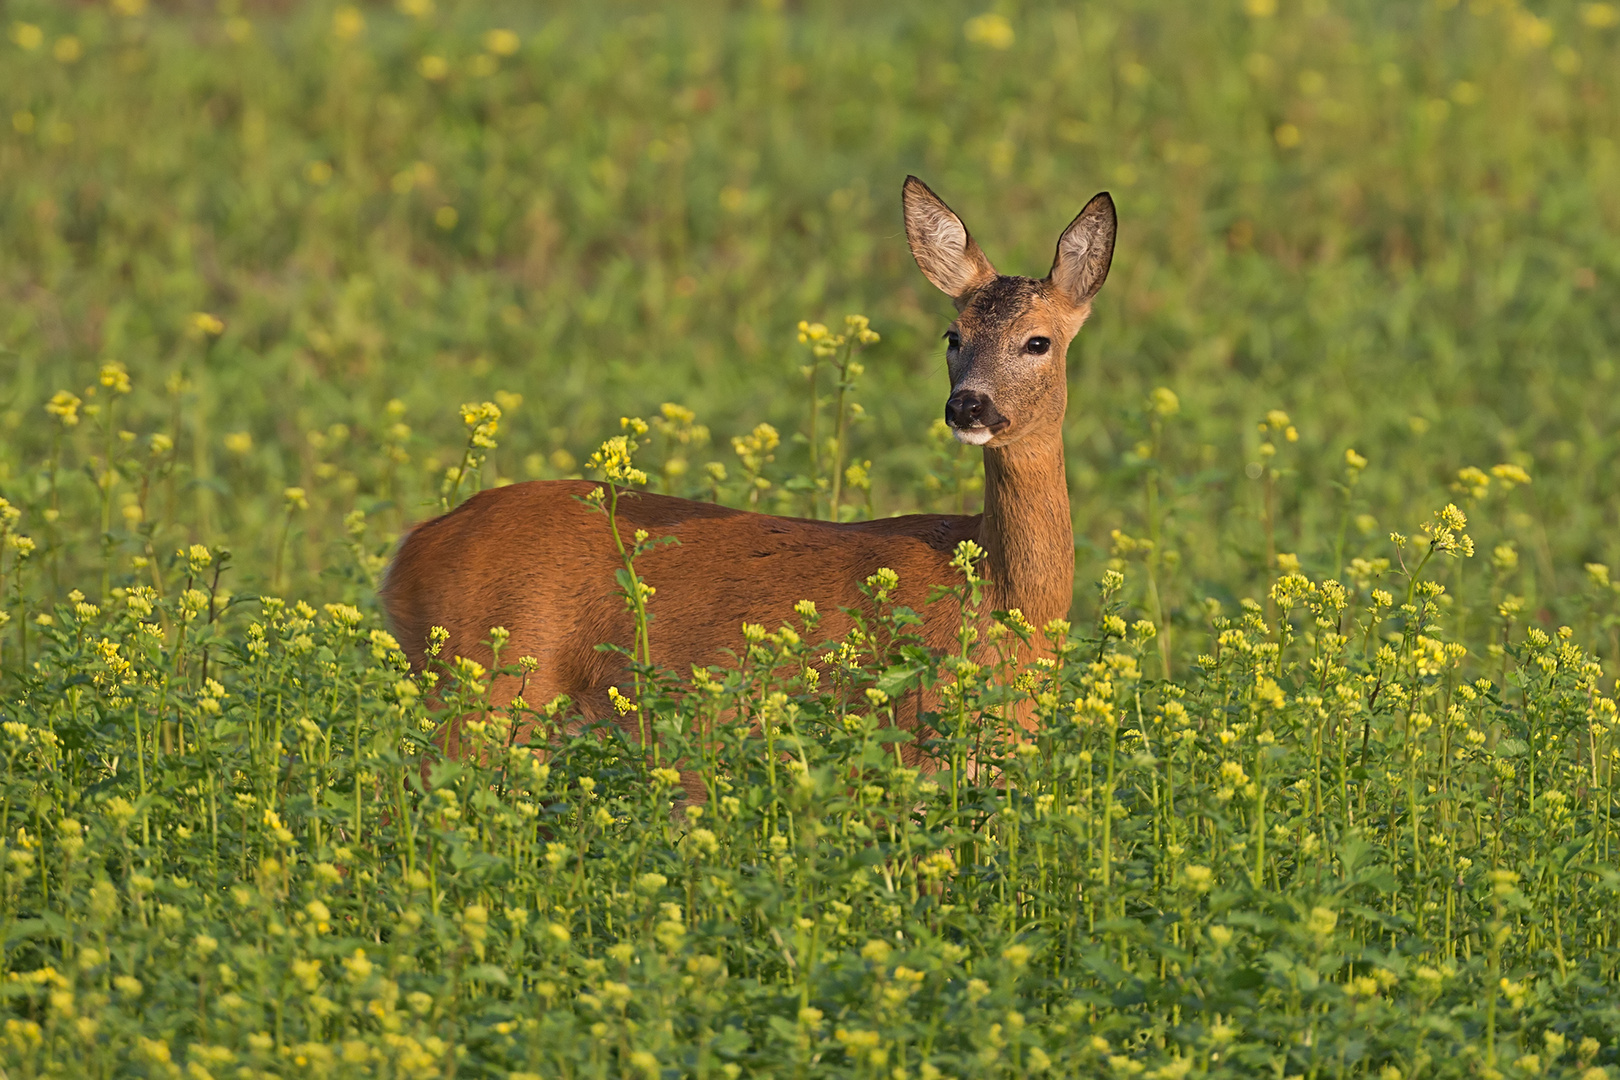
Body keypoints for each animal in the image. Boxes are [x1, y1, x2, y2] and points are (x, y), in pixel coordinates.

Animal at [379, 181, 1114, 780]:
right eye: (952, 335)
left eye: (1039, 341)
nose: (968, 407)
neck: (1003, 598)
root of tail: (408, 550)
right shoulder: (912, 736)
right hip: (483, 684)